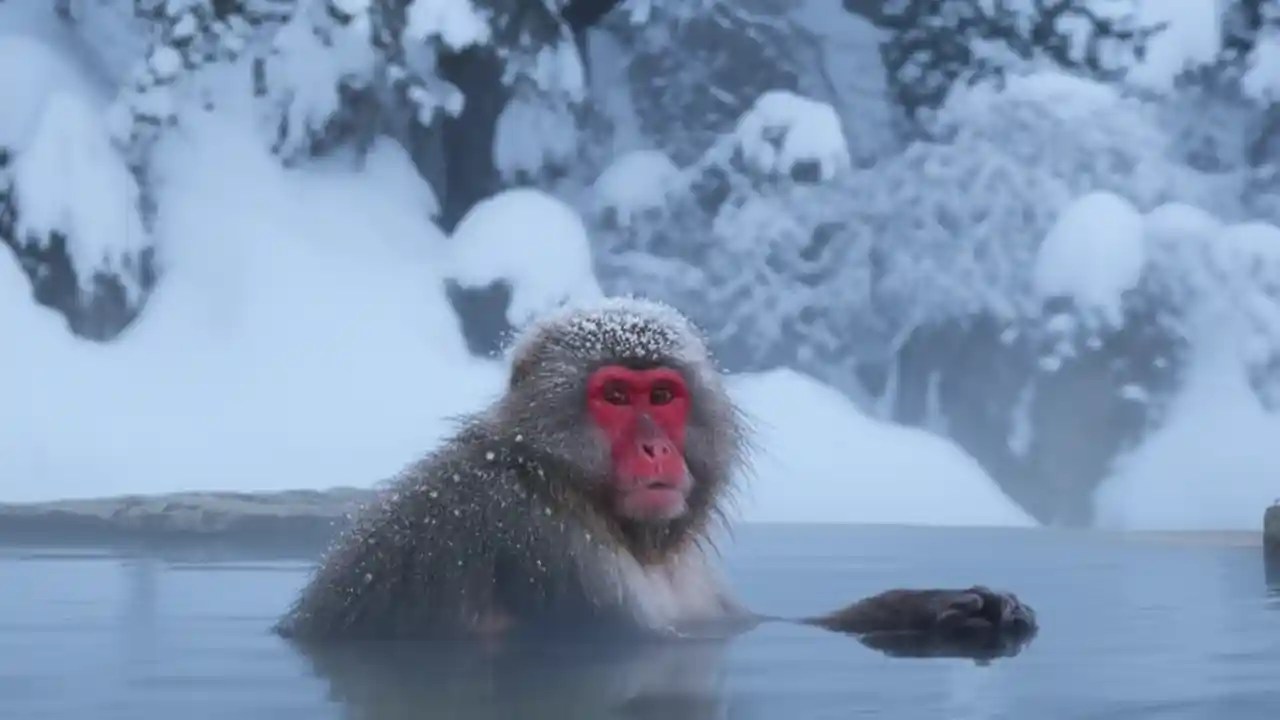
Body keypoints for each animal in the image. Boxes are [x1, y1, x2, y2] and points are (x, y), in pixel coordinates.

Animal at [276, 299, 1037, 658]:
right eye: (615, 397)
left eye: (662, 395)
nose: (653, 450)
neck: (562, 484)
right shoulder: (541, 542)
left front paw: (928, 607)